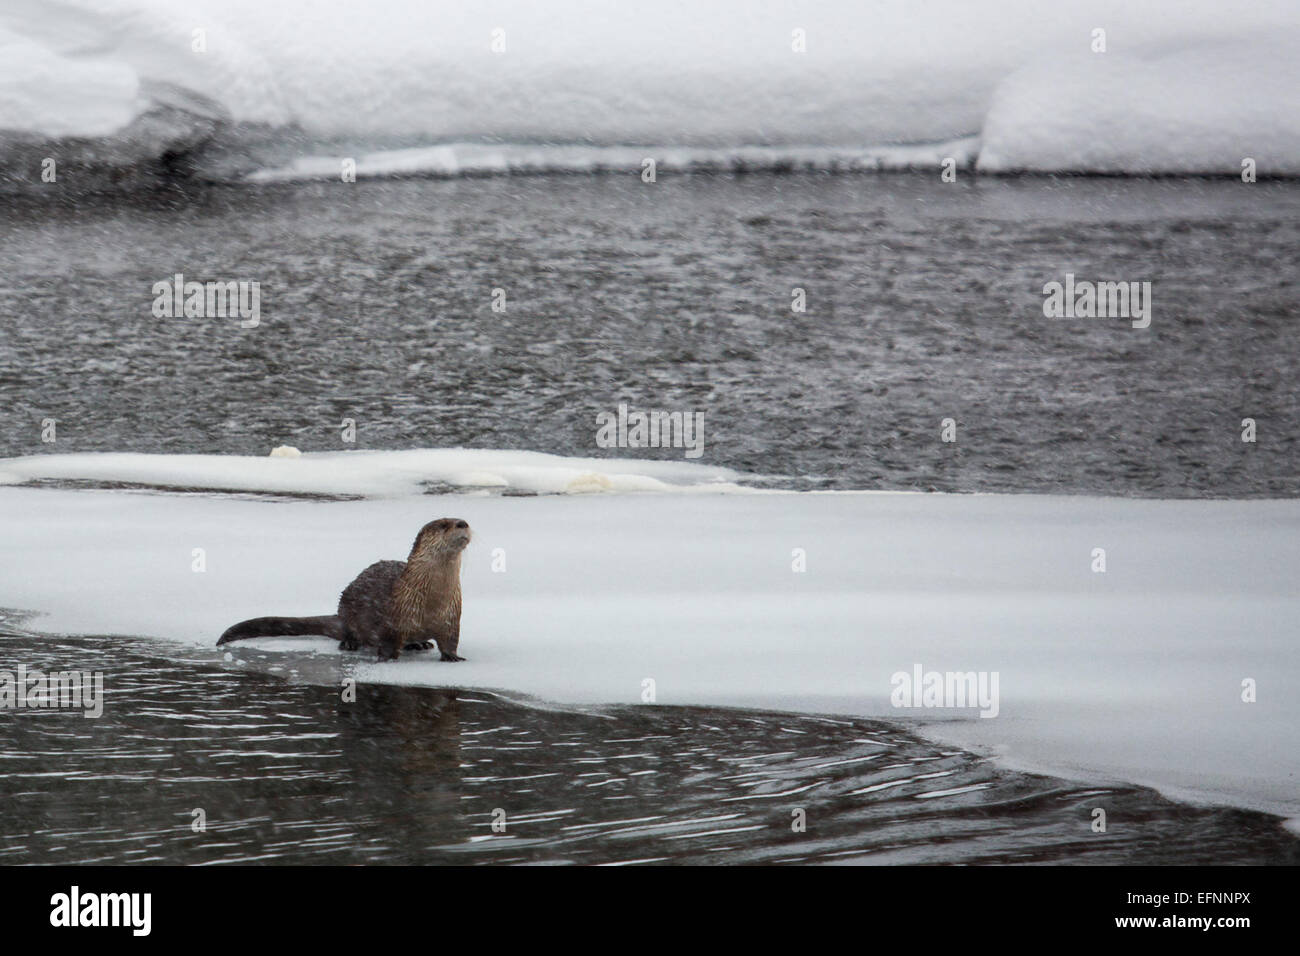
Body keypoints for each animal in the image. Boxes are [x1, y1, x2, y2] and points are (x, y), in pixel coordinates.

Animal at [217, 518, 471, 662]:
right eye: (443, 524)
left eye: (462, 520)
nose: (463, 524)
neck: (432, 601)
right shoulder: (393, 619)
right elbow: (388, 642)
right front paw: (387, 659)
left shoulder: (451, 617)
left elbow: (451, 641)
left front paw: (453, 657)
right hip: (347, 605)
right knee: (349, 629)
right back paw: (349, 643)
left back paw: (419, 643)